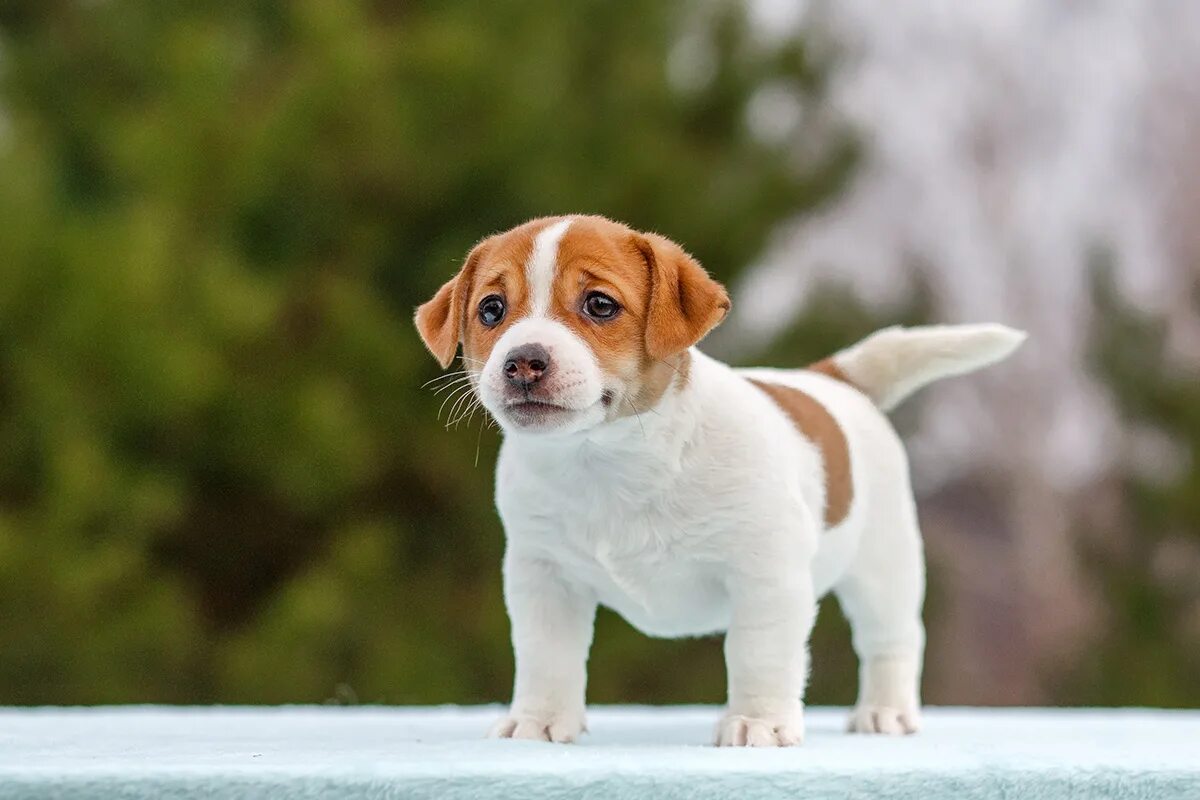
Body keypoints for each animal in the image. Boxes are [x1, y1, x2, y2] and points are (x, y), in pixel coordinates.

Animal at [417, 215, 1027, 748]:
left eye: (599, 304)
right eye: (491, 310)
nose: (523, 361)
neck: (610, 461)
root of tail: (833, 380)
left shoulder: (766, 576)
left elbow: (758, 652)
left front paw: (757, 723)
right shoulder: (543, 577)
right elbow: (546, 654)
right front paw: (540, 721)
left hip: (885, 567)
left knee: (892, 642)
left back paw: (885, 711)